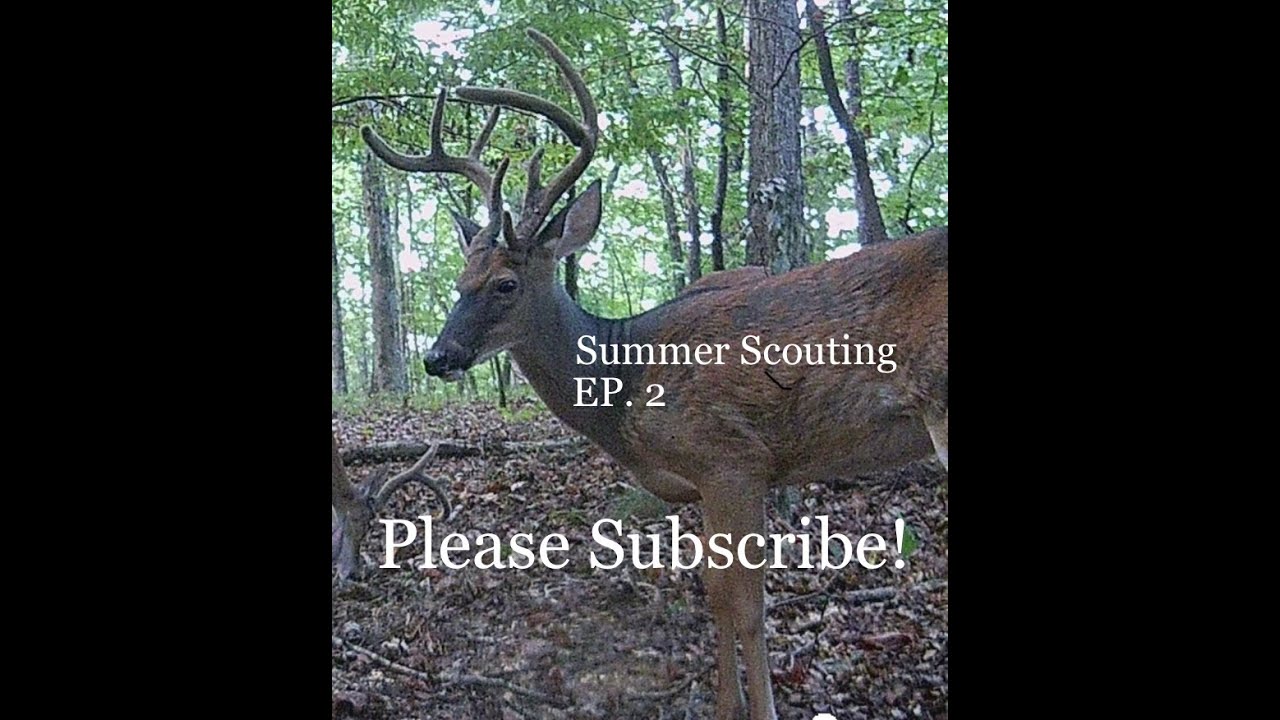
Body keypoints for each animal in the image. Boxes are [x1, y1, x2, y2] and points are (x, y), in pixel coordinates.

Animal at [360, 28, 947, 720]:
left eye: (505, 284)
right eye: (459, 281)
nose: (437, 357)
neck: (628, 379)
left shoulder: (732, 456)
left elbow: (746, 606)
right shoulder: (700, 482)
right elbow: (714, 595)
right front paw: (724, 707)